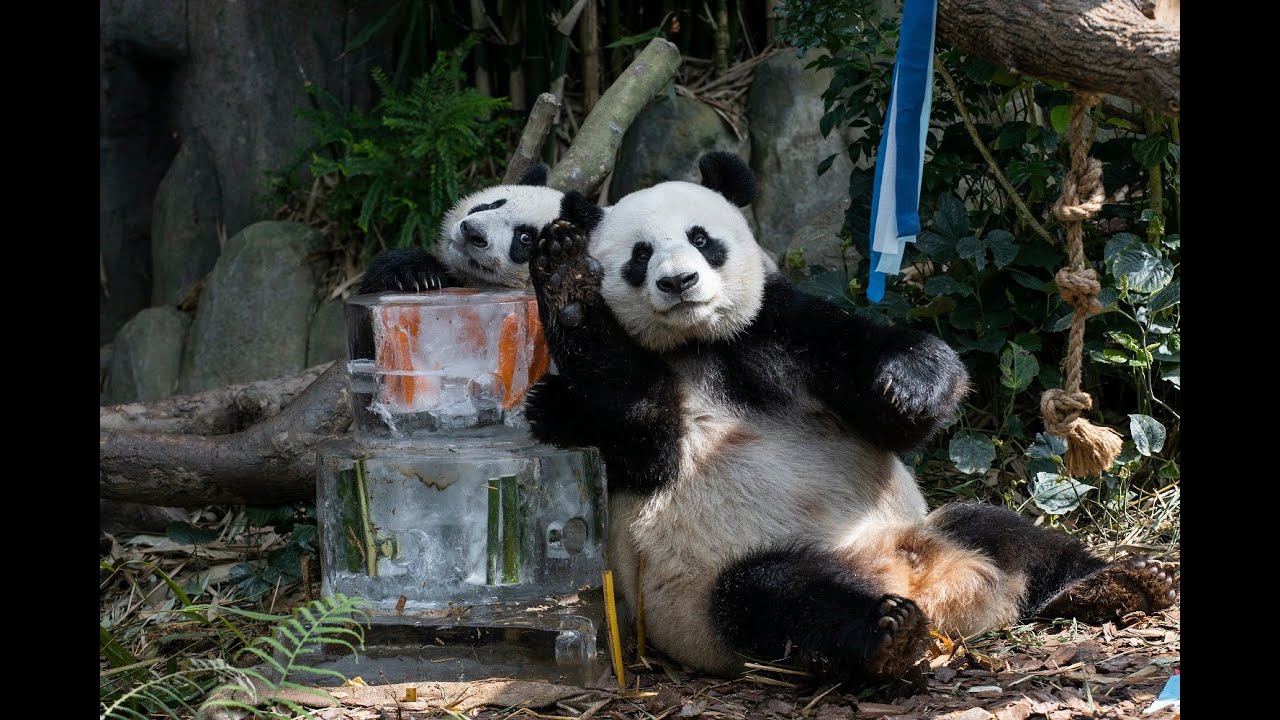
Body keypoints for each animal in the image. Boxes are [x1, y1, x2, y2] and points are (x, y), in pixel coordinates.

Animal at [521, 151, 1179, 681]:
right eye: (640, 256)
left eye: (702, 238)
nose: (679, 281)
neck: (696, 346)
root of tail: (936, 594)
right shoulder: (635, 431)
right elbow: (629, 415)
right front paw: (563, 277)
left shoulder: (772, 332)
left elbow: (879, 390)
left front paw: (910, 387)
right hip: (706, 595)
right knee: (776, 603)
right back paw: (886, 635)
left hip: (932, 527)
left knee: (1002, 531)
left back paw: (1120, 583)